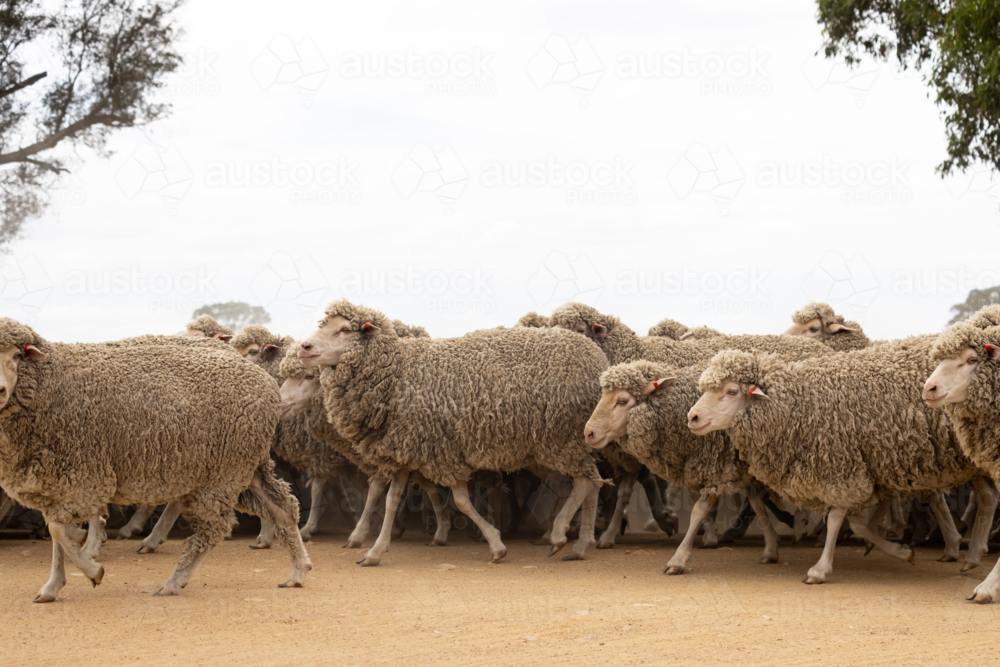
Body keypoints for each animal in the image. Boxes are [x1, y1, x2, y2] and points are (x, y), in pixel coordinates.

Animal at [0, 318, 311, 601]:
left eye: (16, 356)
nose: (0, 390)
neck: (52, 385)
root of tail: (267, 382)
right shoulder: (54, 481)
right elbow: (56, 536)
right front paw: (52, 586)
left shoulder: (86, 477)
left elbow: (58, 530)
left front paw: (92, 569)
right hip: (245, 466)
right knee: (284, 508)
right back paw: (298, 570)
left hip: (225, 471)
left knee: (215, 528)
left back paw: (174, 580)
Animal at [298, 299, 607, 565]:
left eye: (344, 329)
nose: (304, 346)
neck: (398, 373)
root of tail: (597, 358)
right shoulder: (408, 448)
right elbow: (393, 500)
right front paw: (375, 551)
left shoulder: (441, 451)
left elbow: (460, 502)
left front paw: (496, 545)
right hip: (573, 440)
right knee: (592, 483)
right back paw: (580, 545)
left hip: (563, 437)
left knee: (584, 482)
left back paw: (559, 535)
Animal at [585, 359, 783, 573]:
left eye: (622, 401)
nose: (588, 433)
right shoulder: (726, 466)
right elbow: (756, 502)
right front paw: (771, 549)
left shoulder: (720, 465)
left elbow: (698, 510)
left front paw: (679, 559)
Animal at [688, 338, 984, 585]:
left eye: (731, 391)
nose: (692, 417)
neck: (798, 405)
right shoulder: (857, 468)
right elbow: (856, 524)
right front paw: (901, 551)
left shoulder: (842, 467)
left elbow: (835, 520)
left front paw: (819, 570)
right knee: (988, 497)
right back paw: (966, 553)